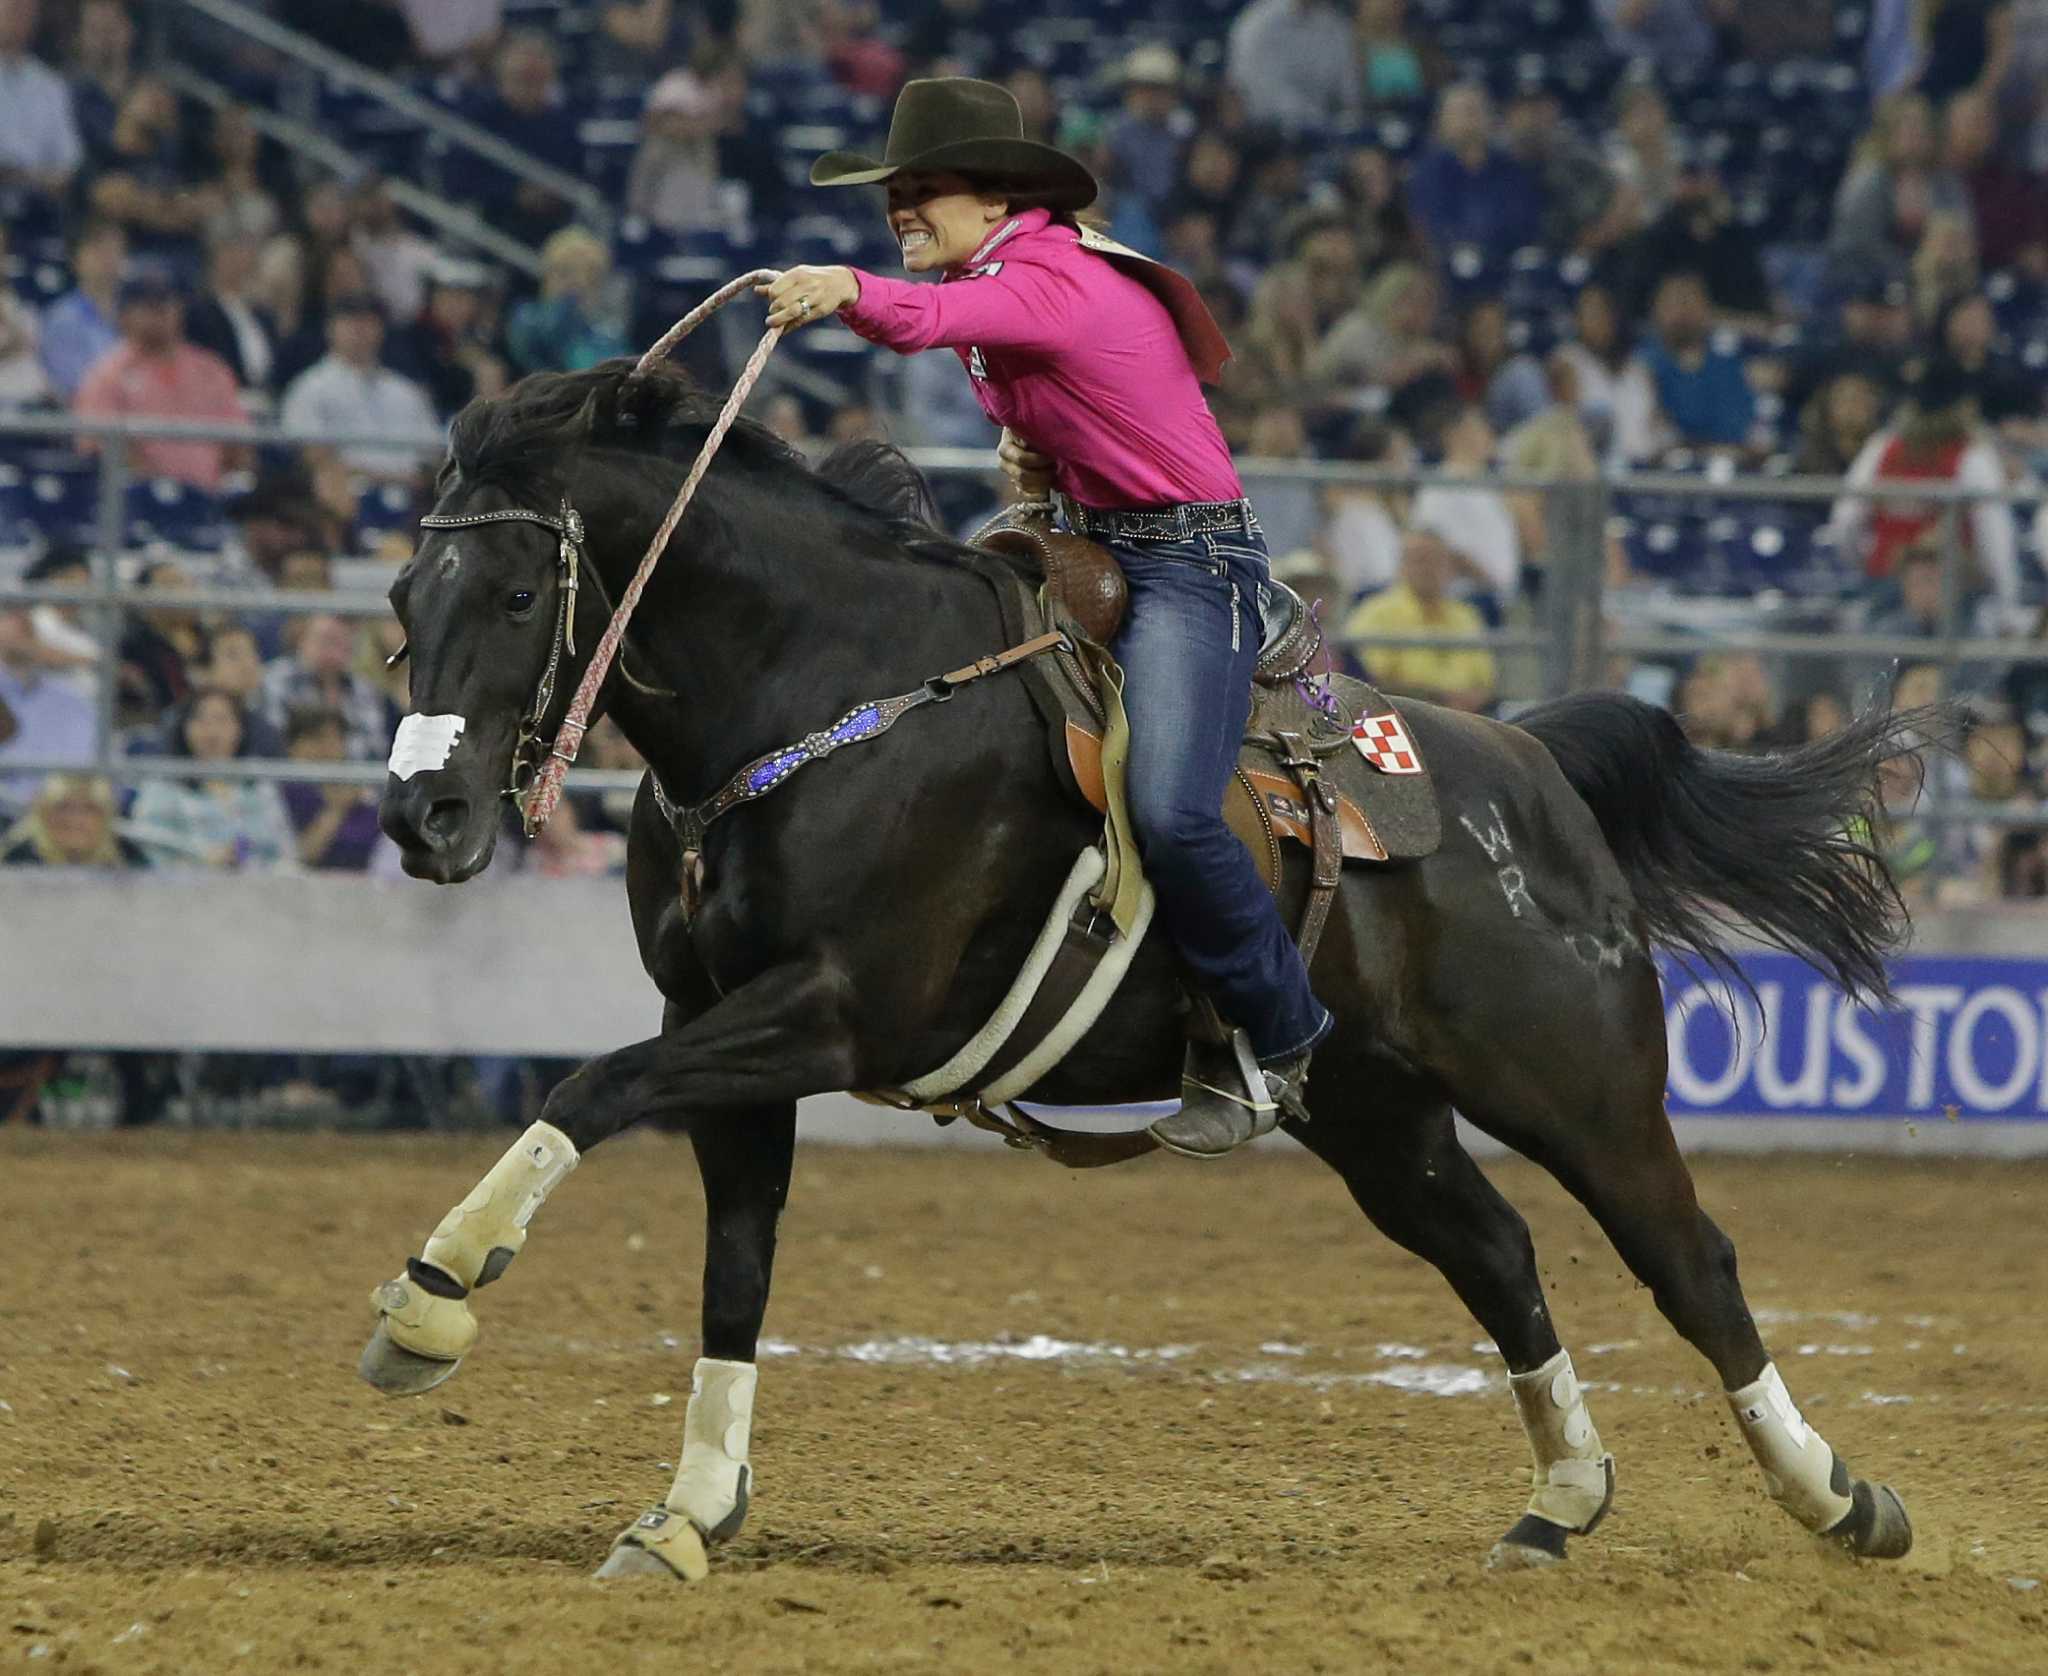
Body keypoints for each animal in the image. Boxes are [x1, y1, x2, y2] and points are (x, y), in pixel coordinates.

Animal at [360, 359, 1923, 1581]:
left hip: (1580, 1088)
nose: (421, 814)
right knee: (1497, 1254)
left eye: (517, 592)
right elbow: (732, 1268)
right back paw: (1561, 1499)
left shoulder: (830, 1014)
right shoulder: (725, 1032)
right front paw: (685, 1511)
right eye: (398, 593)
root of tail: (1531, 763)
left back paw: (1839, 1499)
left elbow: (589, 1083)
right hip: (1377, 1111)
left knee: (1689, 1262)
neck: (826, 694)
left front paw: (432, 1296)